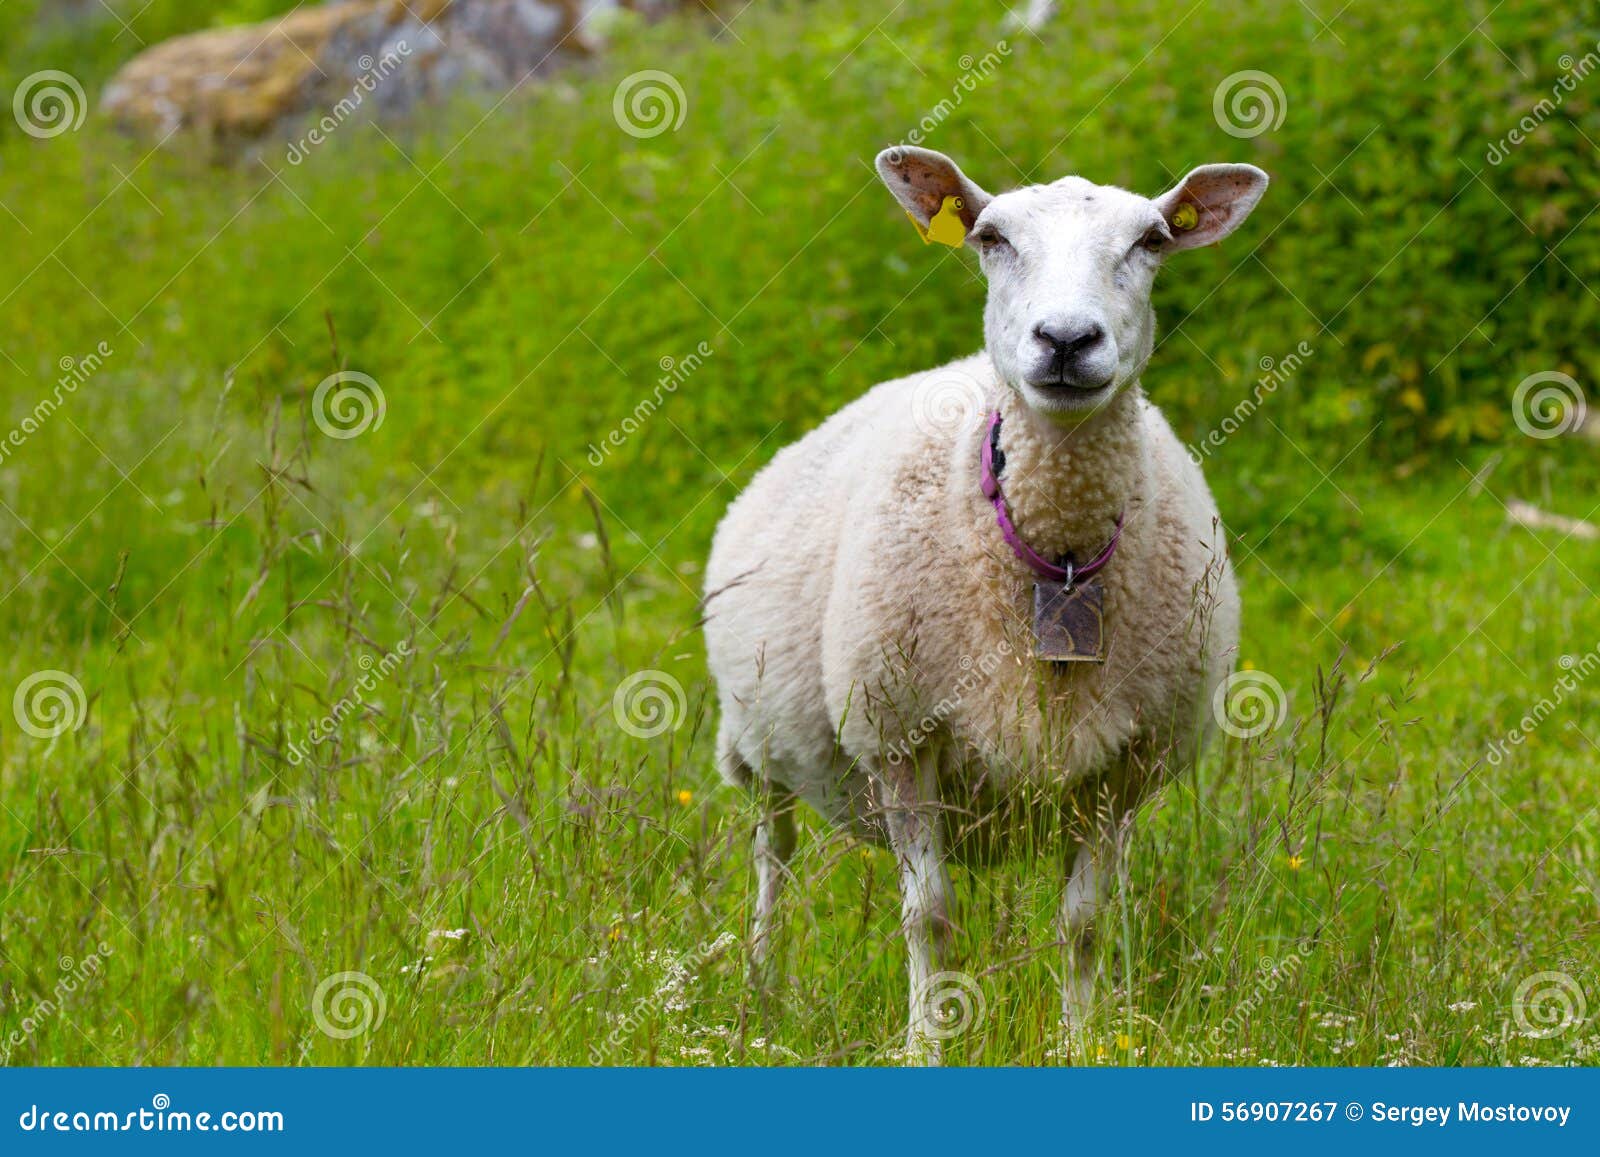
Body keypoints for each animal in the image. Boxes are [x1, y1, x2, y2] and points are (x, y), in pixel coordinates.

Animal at [702, 145, 1268, 1062]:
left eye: (1150, 240)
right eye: (991, 237)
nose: (1066, 340)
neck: (1057, 556)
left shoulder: (1119, 765)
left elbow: (1083, 922)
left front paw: (1081, 1040)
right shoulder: (899, 737)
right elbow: (928, 918)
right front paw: (925, 1044)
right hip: (756, 746)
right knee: (772, 858)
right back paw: (763, 990)